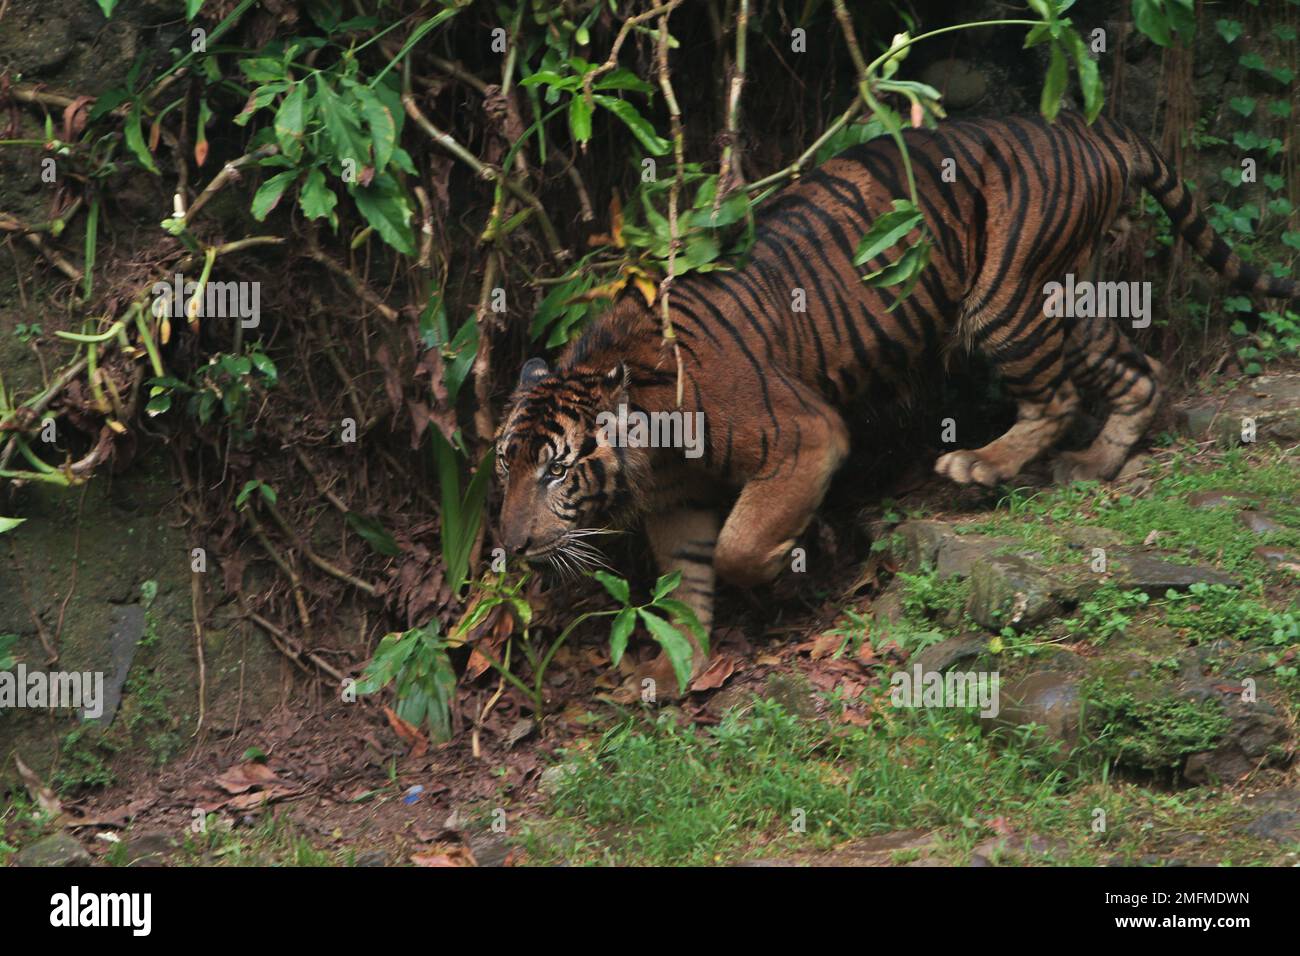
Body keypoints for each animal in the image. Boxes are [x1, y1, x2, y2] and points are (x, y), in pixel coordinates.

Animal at [495, 111, 1300, 688]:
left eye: (557, 472)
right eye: (506, 467)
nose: (512, 546)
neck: (651, 453)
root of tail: (1087, 126)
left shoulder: (805, 435)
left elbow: (739, 546)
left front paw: (794, 559)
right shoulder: (676, 502)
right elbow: (685, 585)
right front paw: (674, 669)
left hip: (1007, 300)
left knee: (1059, 395)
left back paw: (980, 464)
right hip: (1066, 295)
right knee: (1136, 369)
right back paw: (1094, 464)